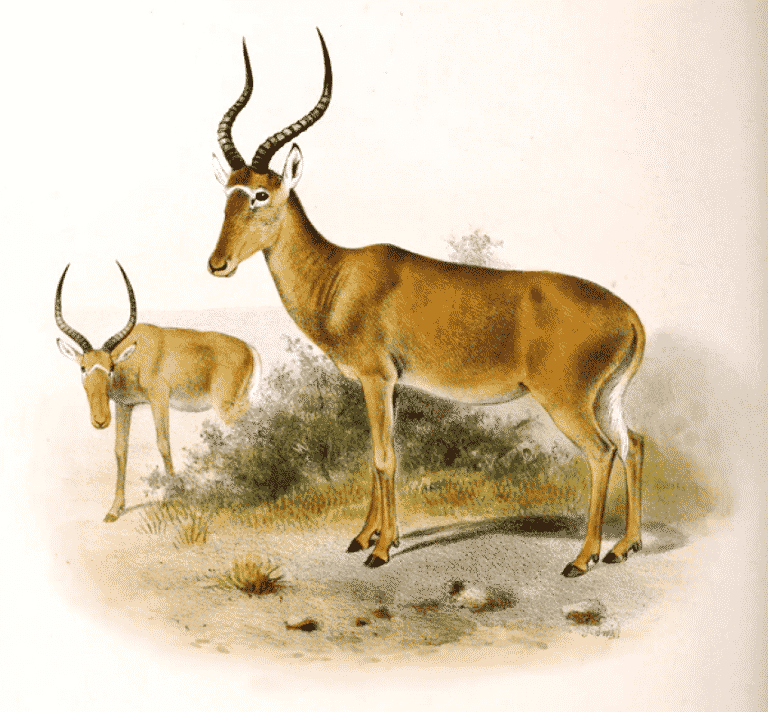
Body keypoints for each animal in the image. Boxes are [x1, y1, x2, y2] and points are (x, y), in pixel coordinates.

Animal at [55, 262, 261, 522]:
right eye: (83, 367)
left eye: (110, 367)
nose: (100, 421)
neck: (135, 357)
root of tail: (250, 348)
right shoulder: (124, 405)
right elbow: (120, 449)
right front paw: (114, 510)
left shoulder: (159, 399)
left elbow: (163, 443)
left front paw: (174, 498)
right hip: (242, 402)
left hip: (227, 406)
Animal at [207, 30, 645, 577]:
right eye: (228, 190)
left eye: (261, 195)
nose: (217, 263)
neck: (339, 275)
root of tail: (630, 316)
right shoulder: (388, 385)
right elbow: (381, 453)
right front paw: (369, 536)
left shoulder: (375, 378)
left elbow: (383, 457)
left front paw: (379, 551)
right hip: (607, 396)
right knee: (635, 444)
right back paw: (625, 546)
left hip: (566, 402)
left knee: (602, 453)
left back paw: (582, 558)